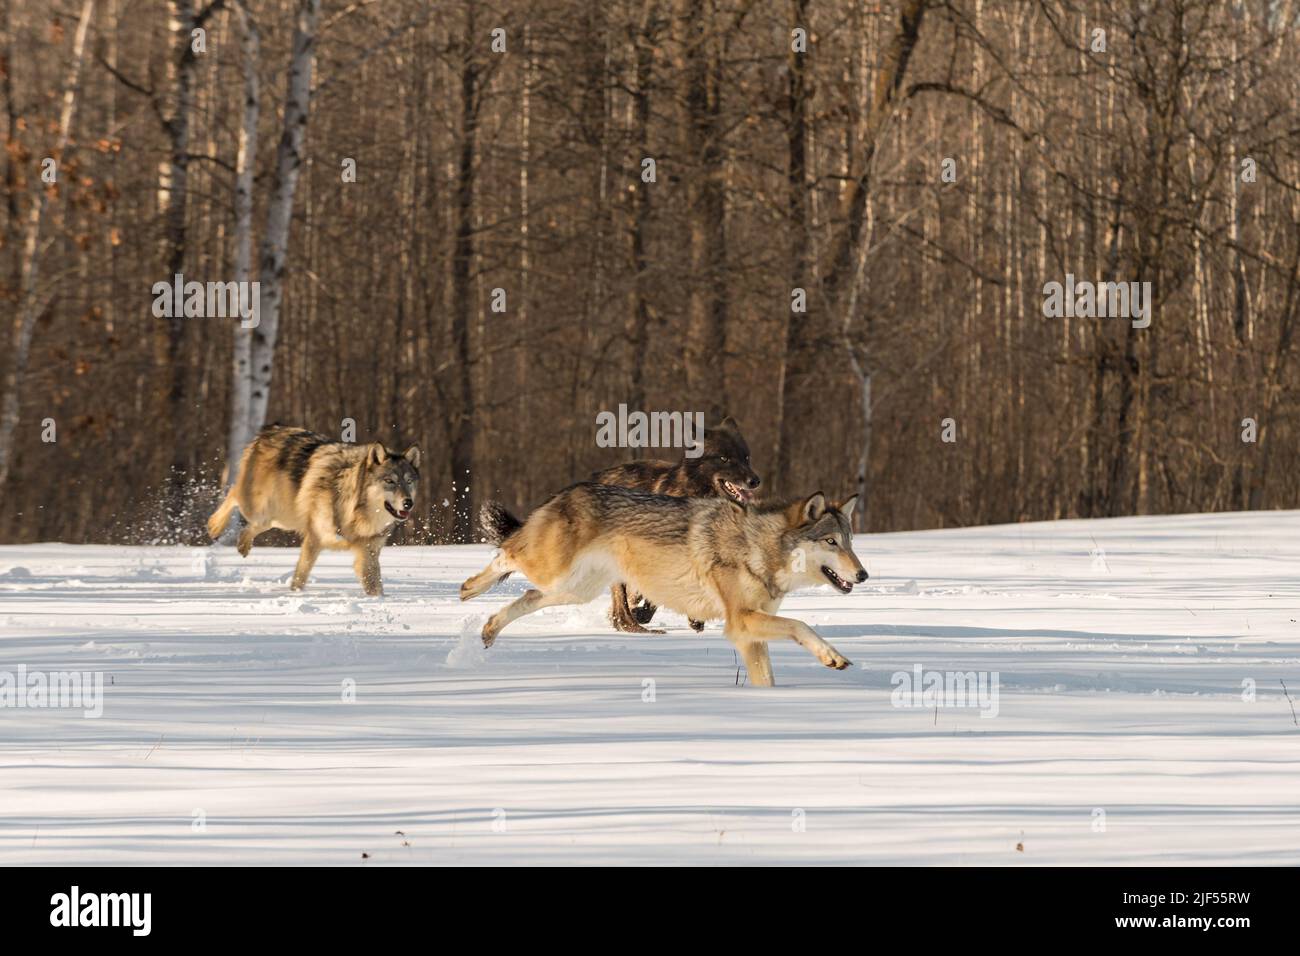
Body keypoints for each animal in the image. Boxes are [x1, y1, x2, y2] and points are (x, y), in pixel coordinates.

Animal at [207, 425, 421, 596]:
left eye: (409, 481)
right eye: (390, 481)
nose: (409, 503)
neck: (354, 512)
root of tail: (270, 430)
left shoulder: (368, 554)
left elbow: (376, 586)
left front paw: (380, 602)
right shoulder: (314, 538)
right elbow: (301, 575)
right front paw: (295, 595)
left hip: (280, 518)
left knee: (251, 527)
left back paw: (243, 545)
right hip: (259, 508)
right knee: (233, 493)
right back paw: (214, 526)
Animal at [462, 485, 865, 687]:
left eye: (849, 541)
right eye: (831, 542)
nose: (863, 575)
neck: (756, 546)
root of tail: (565, 492)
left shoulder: (747, 633)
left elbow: (767, 676)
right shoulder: (740, 621)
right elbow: (802, 625)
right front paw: (832, 656)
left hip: (573, 590)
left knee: (526, 596)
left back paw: (488, 630)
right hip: (553, 572)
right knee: (506, 552)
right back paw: (469, 589)